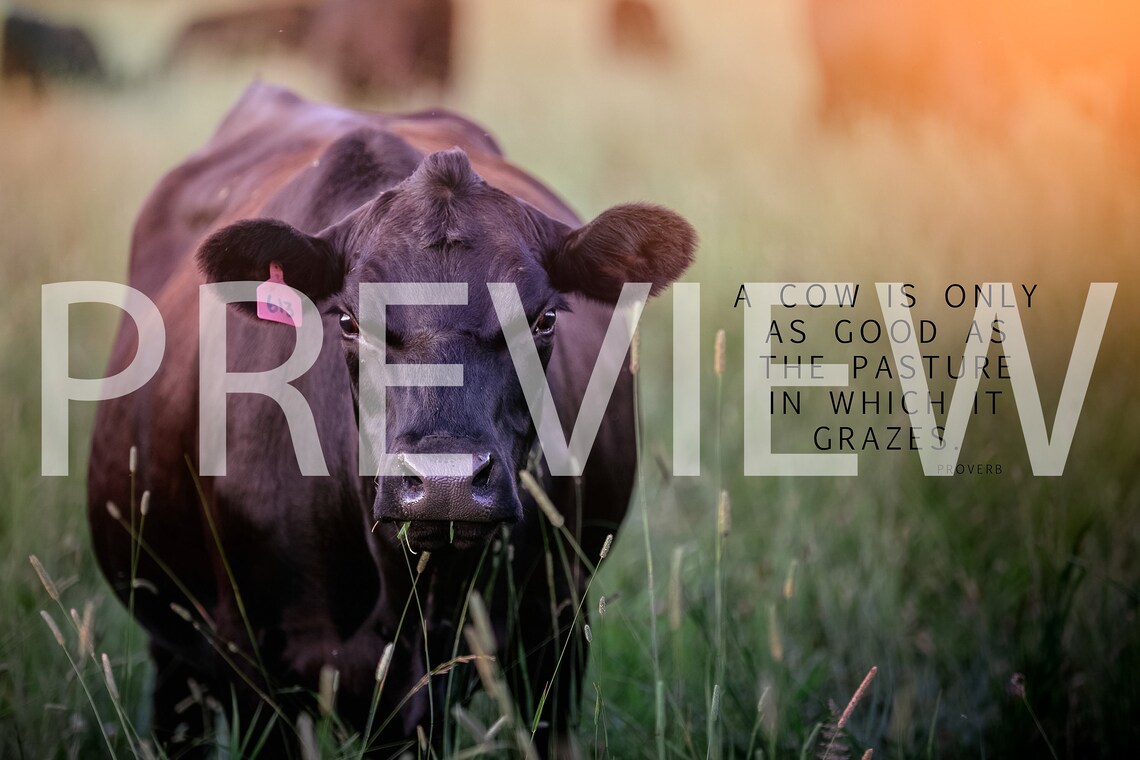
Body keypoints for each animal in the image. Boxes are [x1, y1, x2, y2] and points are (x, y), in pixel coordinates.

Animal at [87, 82, 695, 757]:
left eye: (543, 319)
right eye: (350, 321)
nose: (446, 484)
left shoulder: (550, 635)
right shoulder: (256, 667)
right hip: (174, 648)